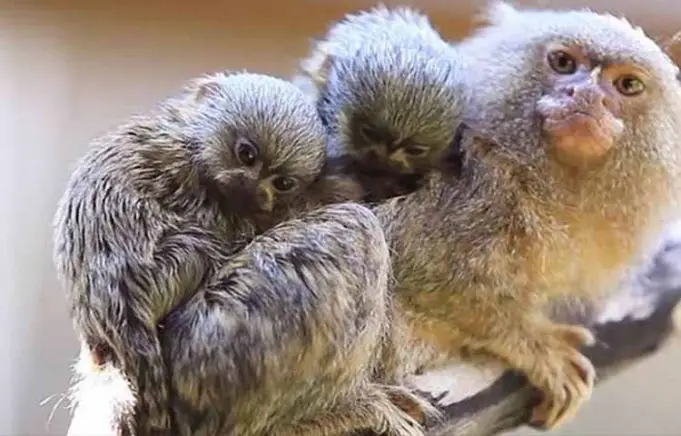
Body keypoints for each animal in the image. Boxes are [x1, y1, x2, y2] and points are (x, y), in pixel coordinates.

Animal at [366, 2, 681, 431]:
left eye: (628, 85)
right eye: (563, 63)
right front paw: (534, 345)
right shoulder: (471, 190)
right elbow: (428, 273)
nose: (585, 95)